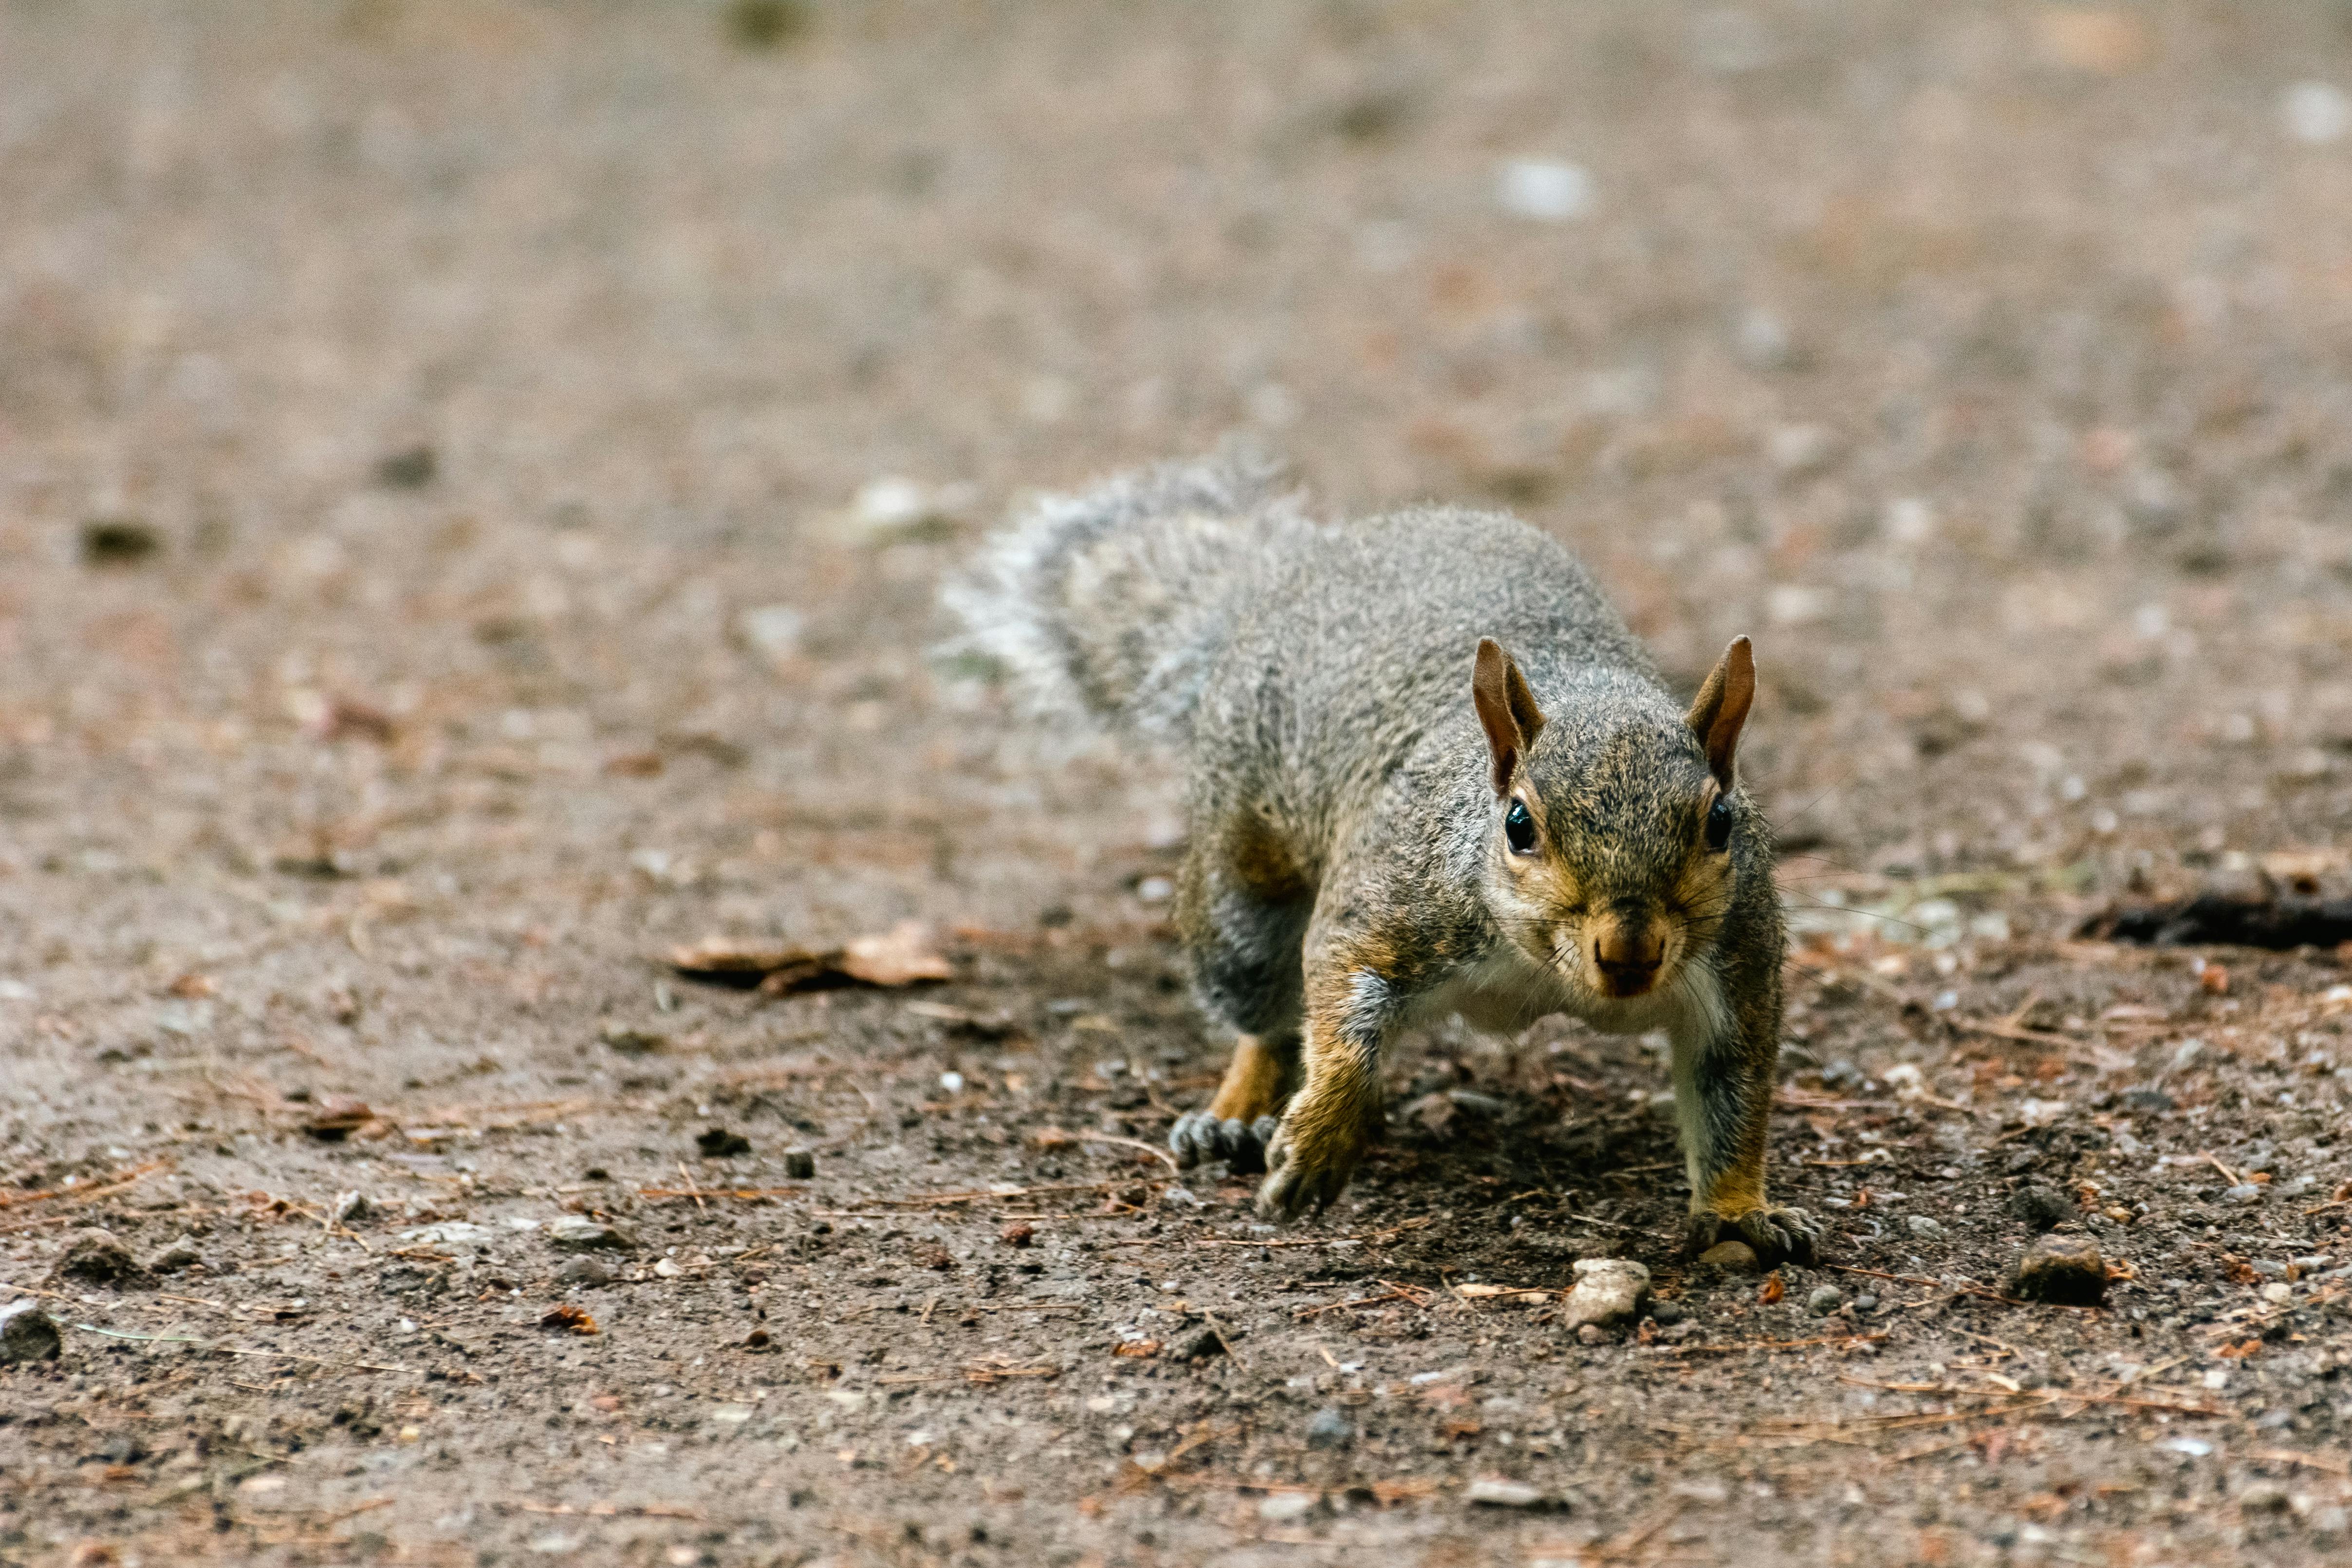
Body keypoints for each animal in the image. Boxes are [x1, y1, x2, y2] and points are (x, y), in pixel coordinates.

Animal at [946, 452, 1816, 1263]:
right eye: (1517, 824)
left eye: (1719, 821)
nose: (1628, 951)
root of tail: (1296, 569)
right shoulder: (1389, 905)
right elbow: (1340, 1016)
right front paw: (1319, 1141)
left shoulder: (1737, 968)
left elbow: (1731, 1096)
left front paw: (1738, 1212)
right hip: (1241, 901)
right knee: (1264, 1015)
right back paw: (1234, 1115)